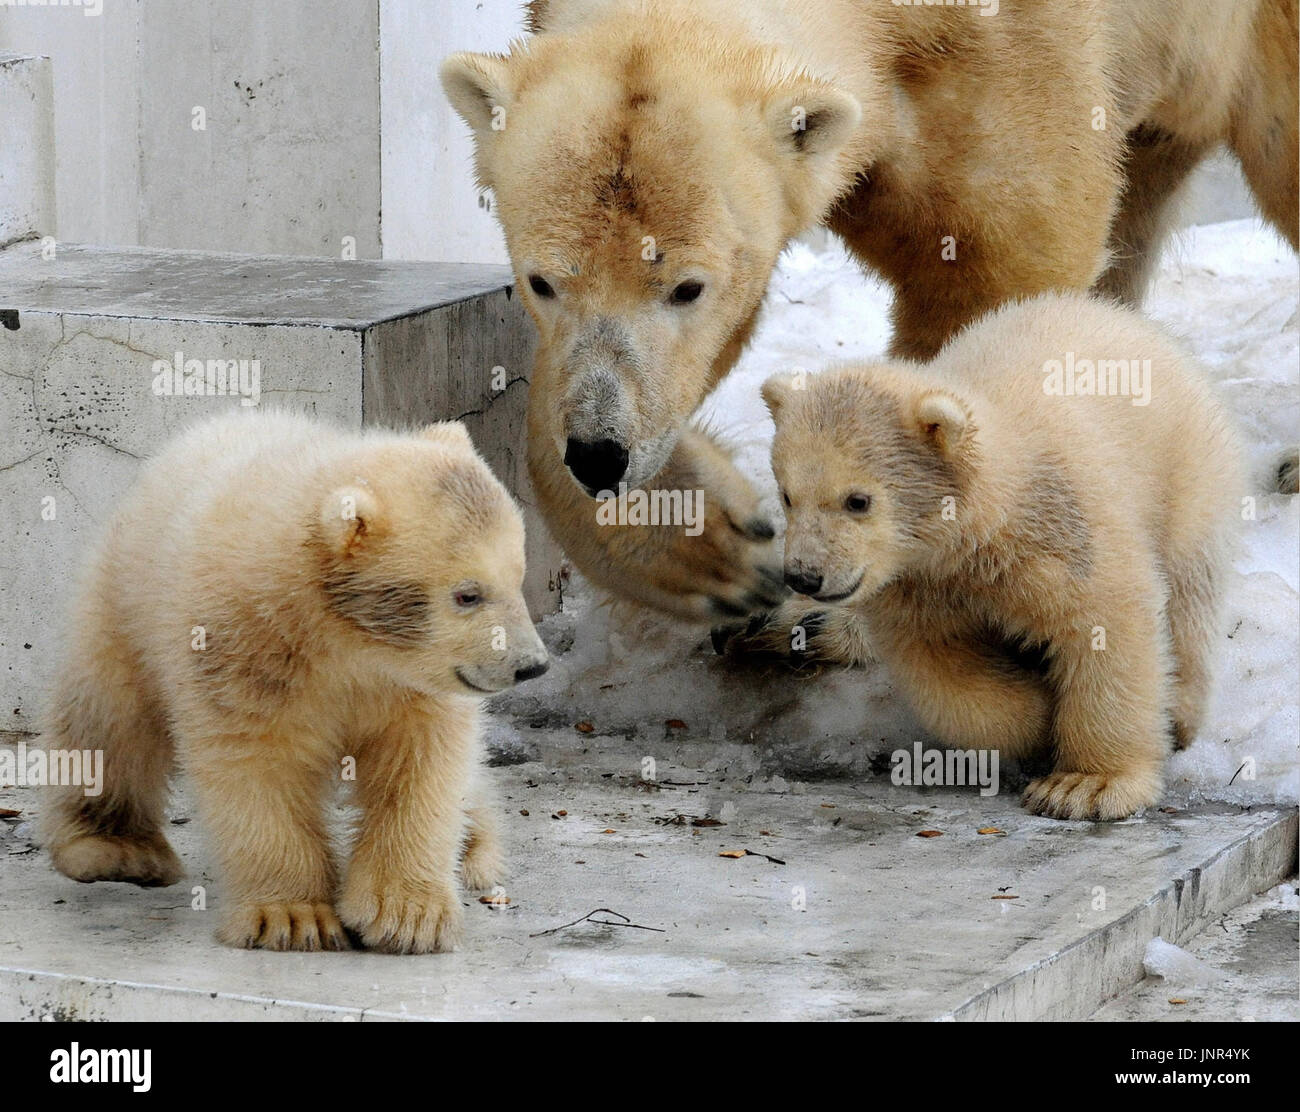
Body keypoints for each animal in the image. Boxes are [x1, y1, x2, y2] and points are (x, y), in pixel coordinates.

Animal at [41, 410, 550, 952]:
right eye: (467, 594)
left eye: (518, 576)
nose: (531, 665)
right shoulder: (242, 642)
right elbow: (257, 759)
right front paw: (291, 916)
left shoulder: (409, 685)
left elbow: (422, 765)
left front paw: (409, 915)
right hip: (122, 609)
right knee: (109, 723)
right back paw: (116, 849)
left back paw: (475, 847)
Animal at [440, 0, 1297, 621]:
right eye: (542, 282)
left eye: (688, 287)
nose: (599, 454)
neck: (906, 21)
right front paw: (714, 551)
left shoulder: (1013, 59)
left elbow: (1006, 267)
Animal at [758, 293, 1244, 821]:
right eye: (787, 495)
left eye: (858, 500)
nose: (805, 576)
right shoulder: (918, 583)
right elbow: (942, 666)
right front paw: (1036, 714)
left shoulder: (1061, 528)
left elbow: (1107, 620)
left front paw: (1083, 786)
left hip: (1186, 469)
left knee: (1190, 587)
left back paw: (1178, 713)